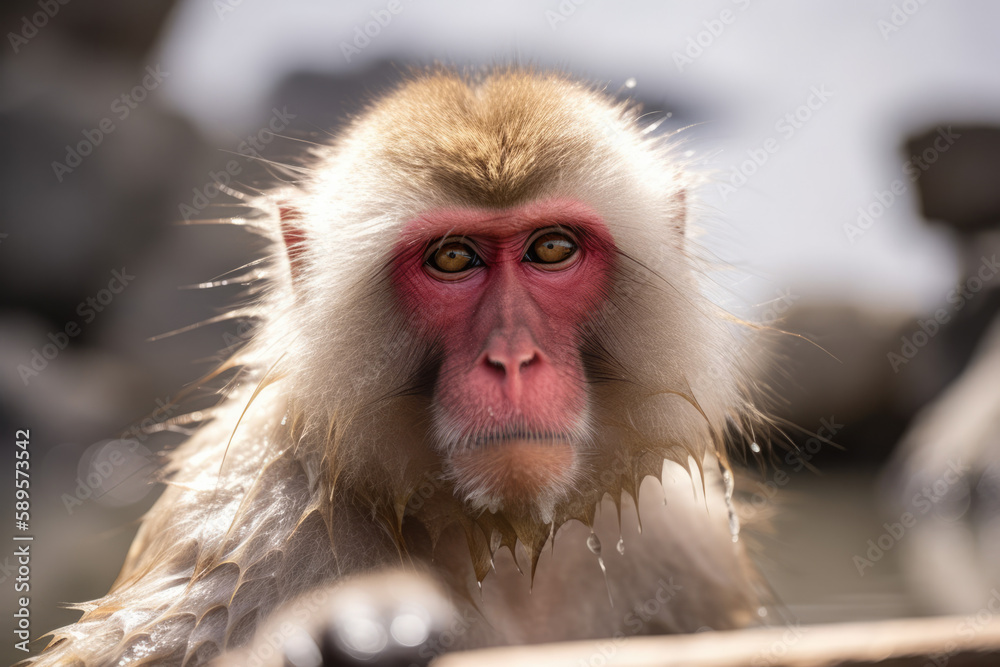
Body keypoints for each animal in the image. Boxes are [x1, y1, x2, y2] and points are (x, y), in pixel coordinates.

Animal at [31, 66, 769, 666]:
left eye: (552, 248)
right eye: (453, 258)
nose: (512, 358)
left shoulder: (687, 544)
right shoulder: (259, 536)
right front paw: (353, 639)